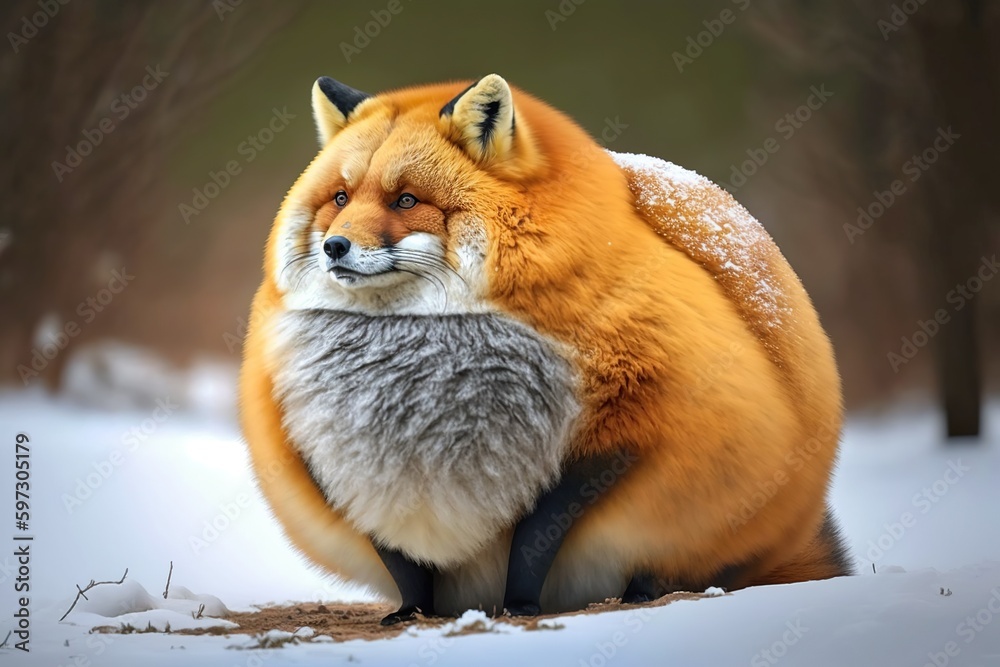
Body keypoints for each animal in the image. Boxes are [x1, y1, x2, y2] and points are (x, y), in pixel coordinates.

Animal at [240, 73, 852, 625]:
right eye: (340, 198)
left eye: (406, 200)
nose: (334, 246)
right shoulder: (331, 465)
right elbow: (403, 564)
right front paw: (413, 613)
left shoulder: (617, 437)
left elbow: (535, 542)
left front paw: (520, 607)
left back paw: (644, 592)